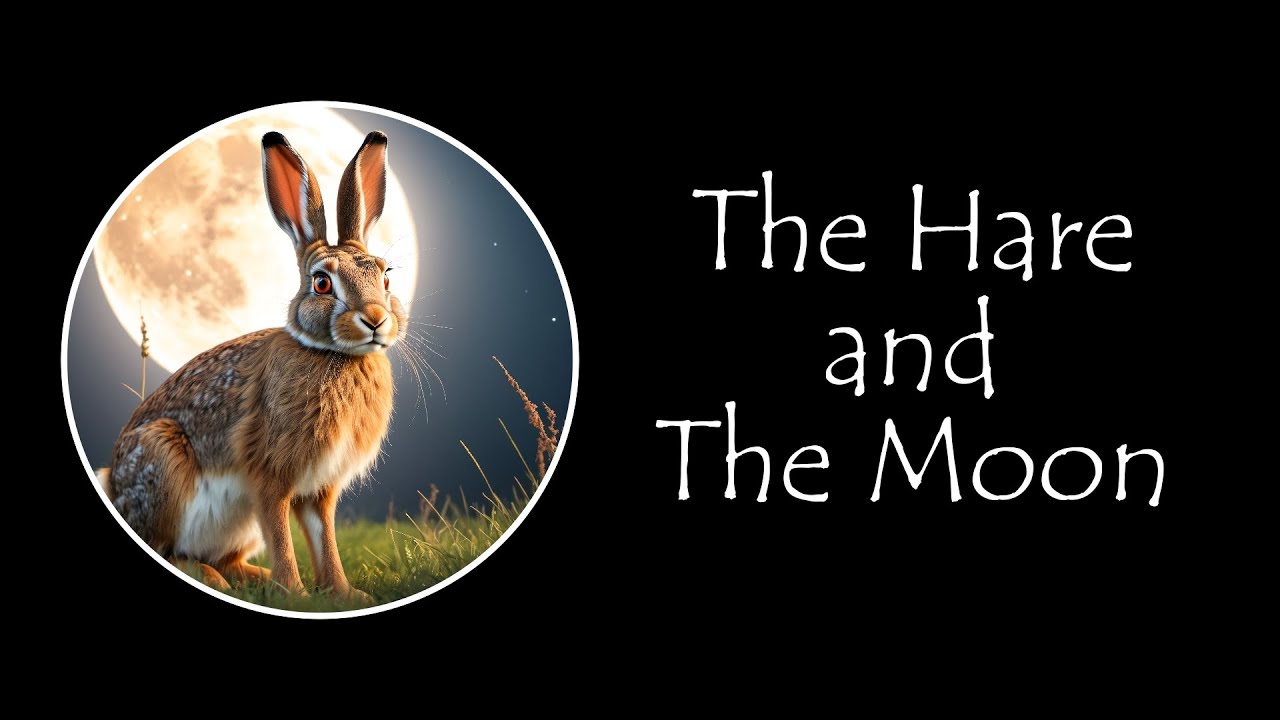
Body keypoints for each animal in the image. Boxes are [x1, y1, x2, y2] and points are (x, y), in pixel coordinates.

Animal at [97, 130, 407, 600]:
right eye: (322, 283)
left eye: (386, 276)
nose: (375, 319)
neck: (331, 354)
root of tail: (114, 488)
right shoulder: (269, 474)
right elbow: (281, 530)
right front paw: (295, 593)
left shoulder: (319, 486)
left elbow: (324, 536)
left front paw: (345, 594)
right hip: (164, 463)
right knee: (169, 550)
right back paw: (215, 579)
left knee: (223, 557)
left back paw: (250, 577)